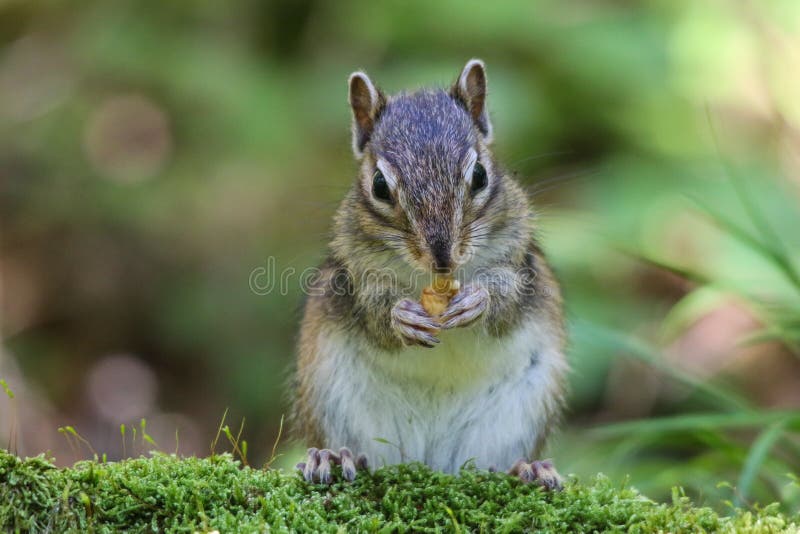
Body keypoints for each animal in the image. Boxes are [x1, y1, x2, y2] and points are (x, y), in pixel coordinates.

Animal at [292, 59, 567, 489]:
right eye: (379, 185)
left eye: (480, 175)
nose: (442, 259)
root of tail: (433, 464)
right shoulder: (356, 273)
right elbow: (374, 312)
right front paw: (400, 316)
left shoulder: (520, 259)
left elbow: (507, 300)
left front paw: (478, 300)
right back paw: (333, 458)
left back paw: (527, 469)